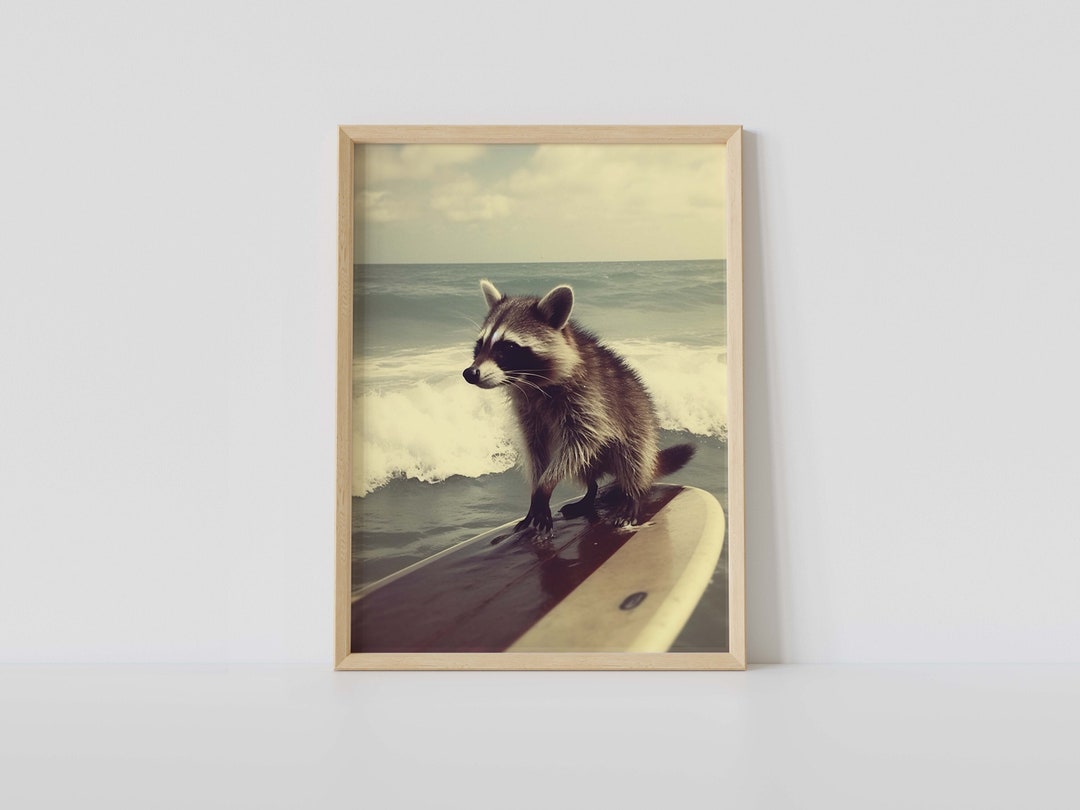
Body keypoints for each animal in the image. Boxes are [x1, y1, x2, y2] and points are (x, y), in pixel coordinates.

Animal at [462, 279, 695, 532]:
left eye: (508, 347)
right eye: (479, 345)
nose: (470, 373)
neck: (531, 383)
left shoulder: (588, 398)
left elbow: (582, 440)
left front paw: (545, 485)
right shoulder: (527, 411)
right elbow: (535, 448)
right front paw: (536, 489)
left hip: (639, 426)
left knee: (632, 459)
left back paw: (633, 495)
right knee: (585, 469)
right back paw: (590, 492)